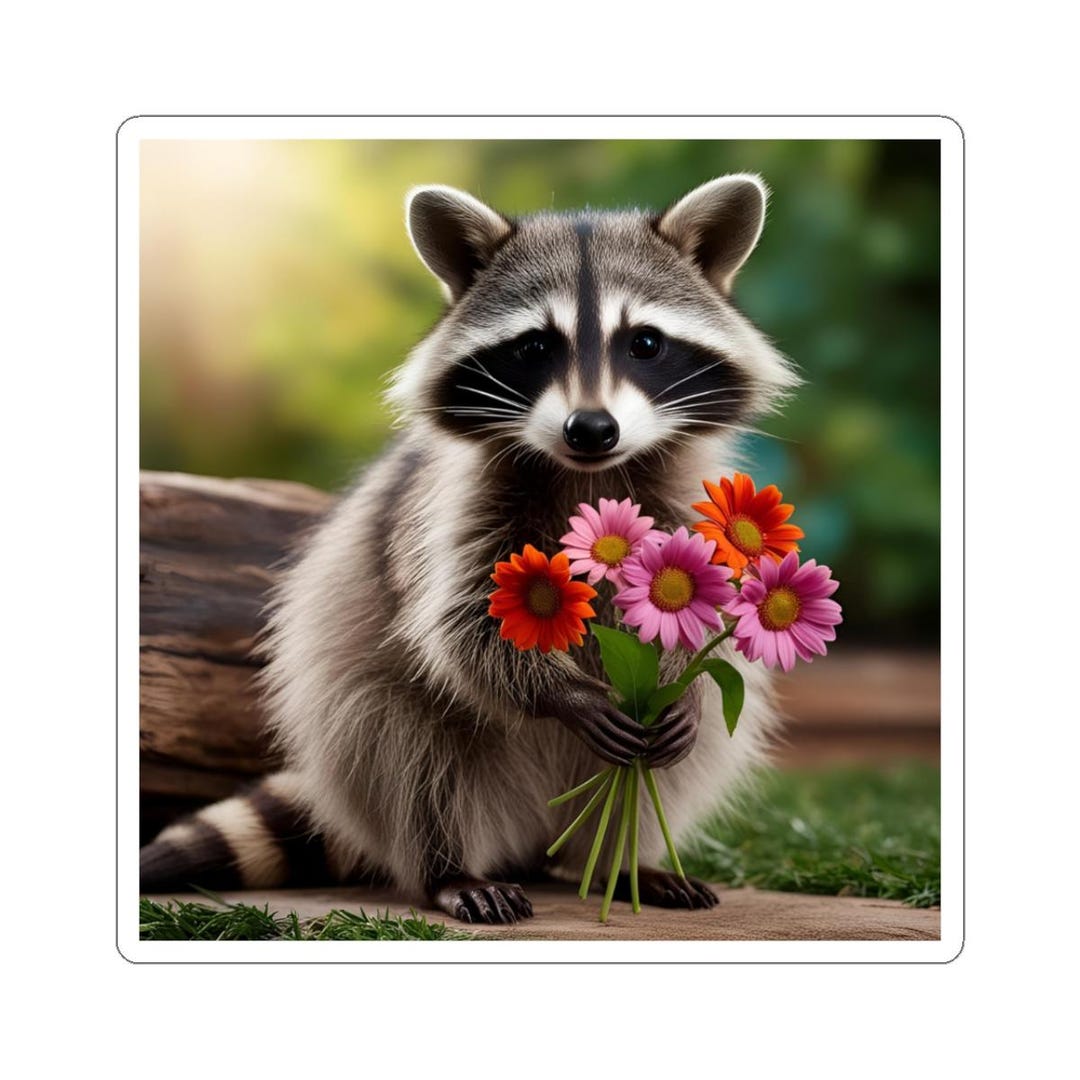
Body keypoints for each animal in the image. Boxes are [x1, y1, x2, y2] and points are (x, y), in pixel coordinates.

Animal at [140, 175, 799, 923]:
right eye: (536, 347)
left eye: (647, 343)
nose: (591, 428)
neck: (588, 474)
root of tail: (532, 834)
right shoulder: (445, 510)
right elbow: (458, 629)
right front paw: (561, 694)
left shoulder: (686, 494)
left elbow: (718, 629)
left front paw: (685, 680)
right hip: (371, 728)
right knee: (406, 747)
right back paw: (450, 867)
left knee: (691, 751)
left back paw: (617, 860)